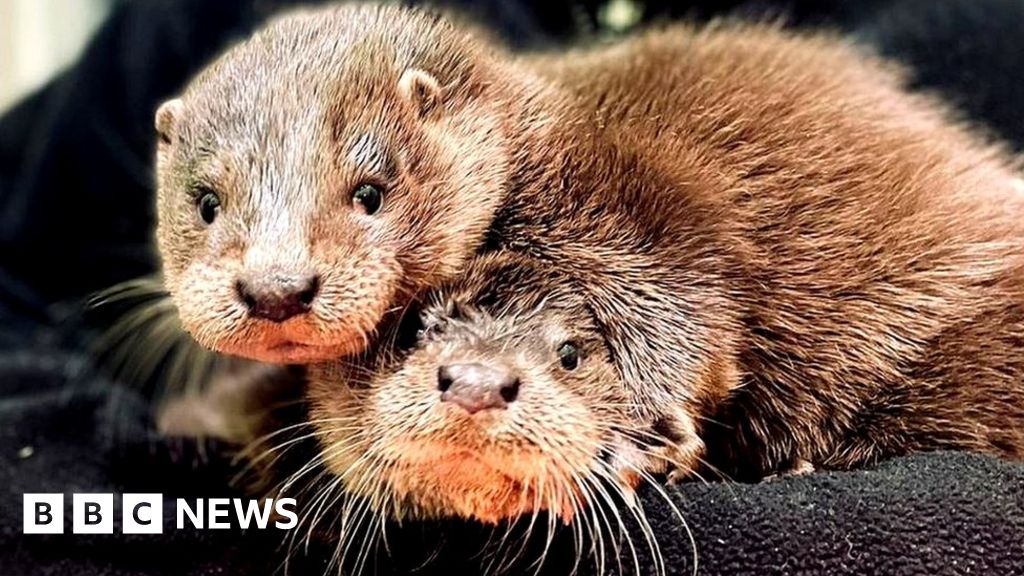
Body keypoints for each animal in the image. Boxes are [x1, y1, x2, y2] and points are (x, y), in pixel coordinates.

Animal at [155, 4, 1024, 483]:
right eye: (204, 203)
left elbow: (684, 308)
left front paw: (640, 439)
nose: (276, 290)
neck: (539, 142)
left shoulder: (638, 203)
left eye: (370, 192)